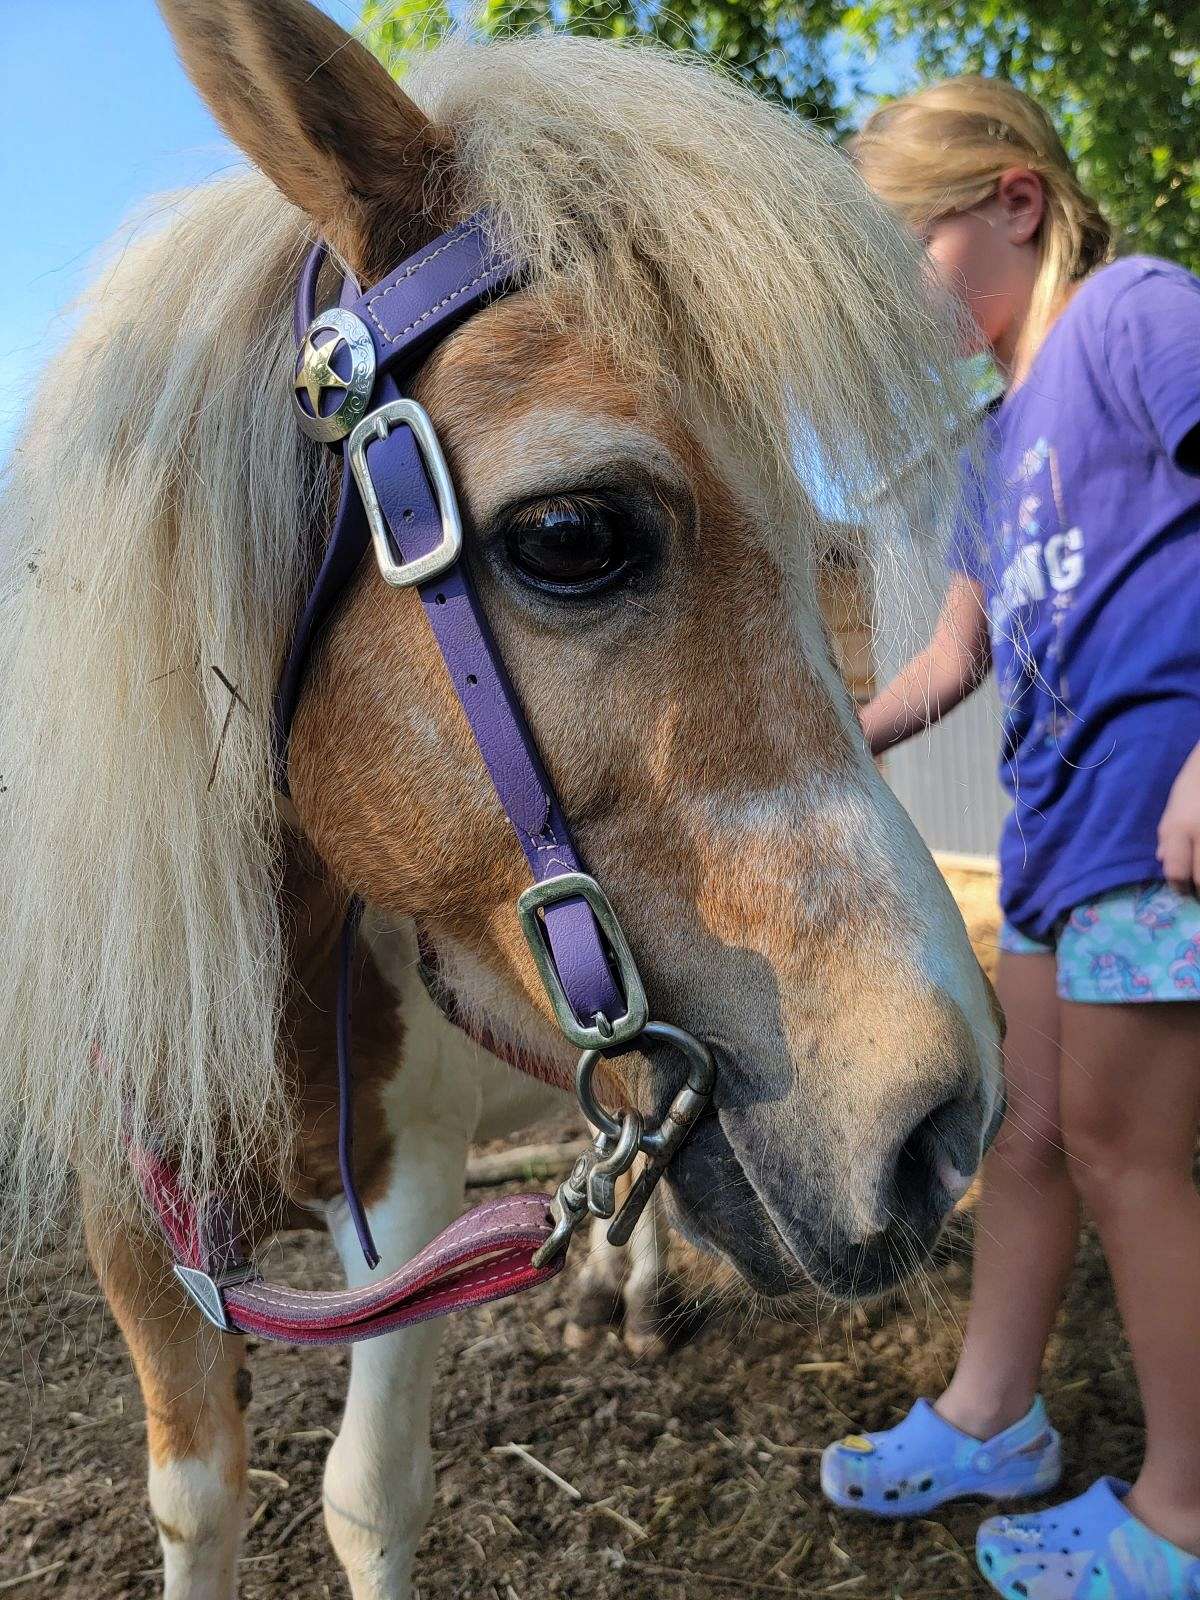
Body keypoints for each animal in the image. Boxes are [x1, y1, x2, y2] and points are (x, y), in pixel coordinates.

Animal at [0, 3, 1003, 1595]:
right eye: (575, 533)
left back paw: (630, 1298)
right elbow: (195, 1497)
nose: (947, 1125)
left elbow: (366, 1493)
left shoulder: (410, 1196)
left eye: (826, 563)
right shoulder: (134, 1228)